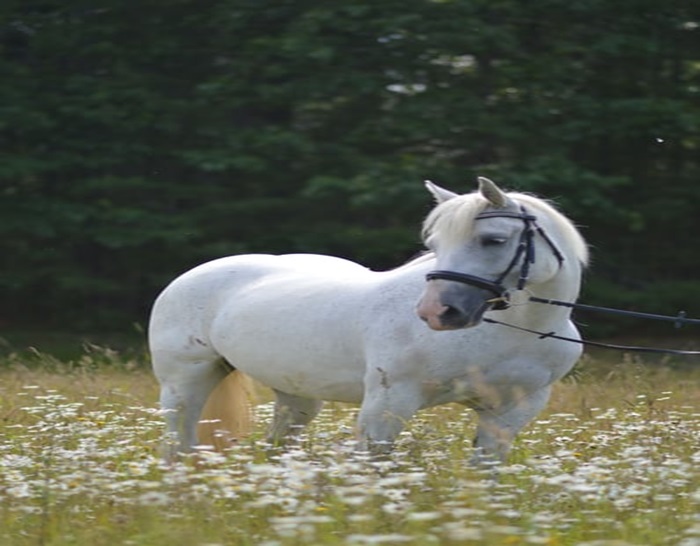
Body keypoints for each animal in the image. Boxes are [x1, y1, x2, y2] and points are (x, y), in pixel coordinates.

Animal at [149, 177, 589, 463]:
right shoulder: (389, 402)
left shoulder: (511, 412)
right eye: (434, 244)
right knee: (178, 446)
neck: (518, 334)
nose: (436, 312)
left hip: (297, 396)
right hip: (184, 383)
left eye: (493, 240)